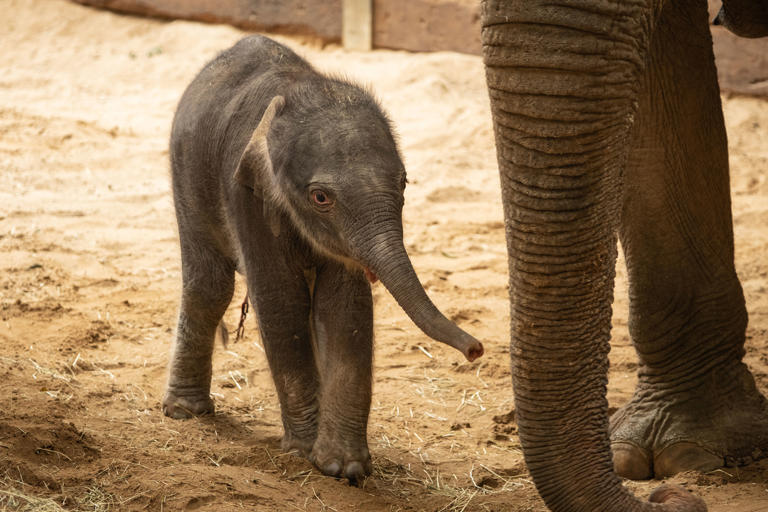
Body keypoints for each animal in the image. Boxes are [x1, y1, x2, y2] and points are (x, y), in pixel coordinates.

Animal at [162, 35, 483, 483]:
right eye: (320, 197)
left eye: (404, 182)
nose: (476, 350)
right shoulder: (247, 194)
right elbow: (281, 300)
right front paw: (304, 452)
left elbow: (343, 306)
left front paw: (342, 466)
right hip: (187, 170)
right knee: (210, 284)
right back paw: (185, 412)